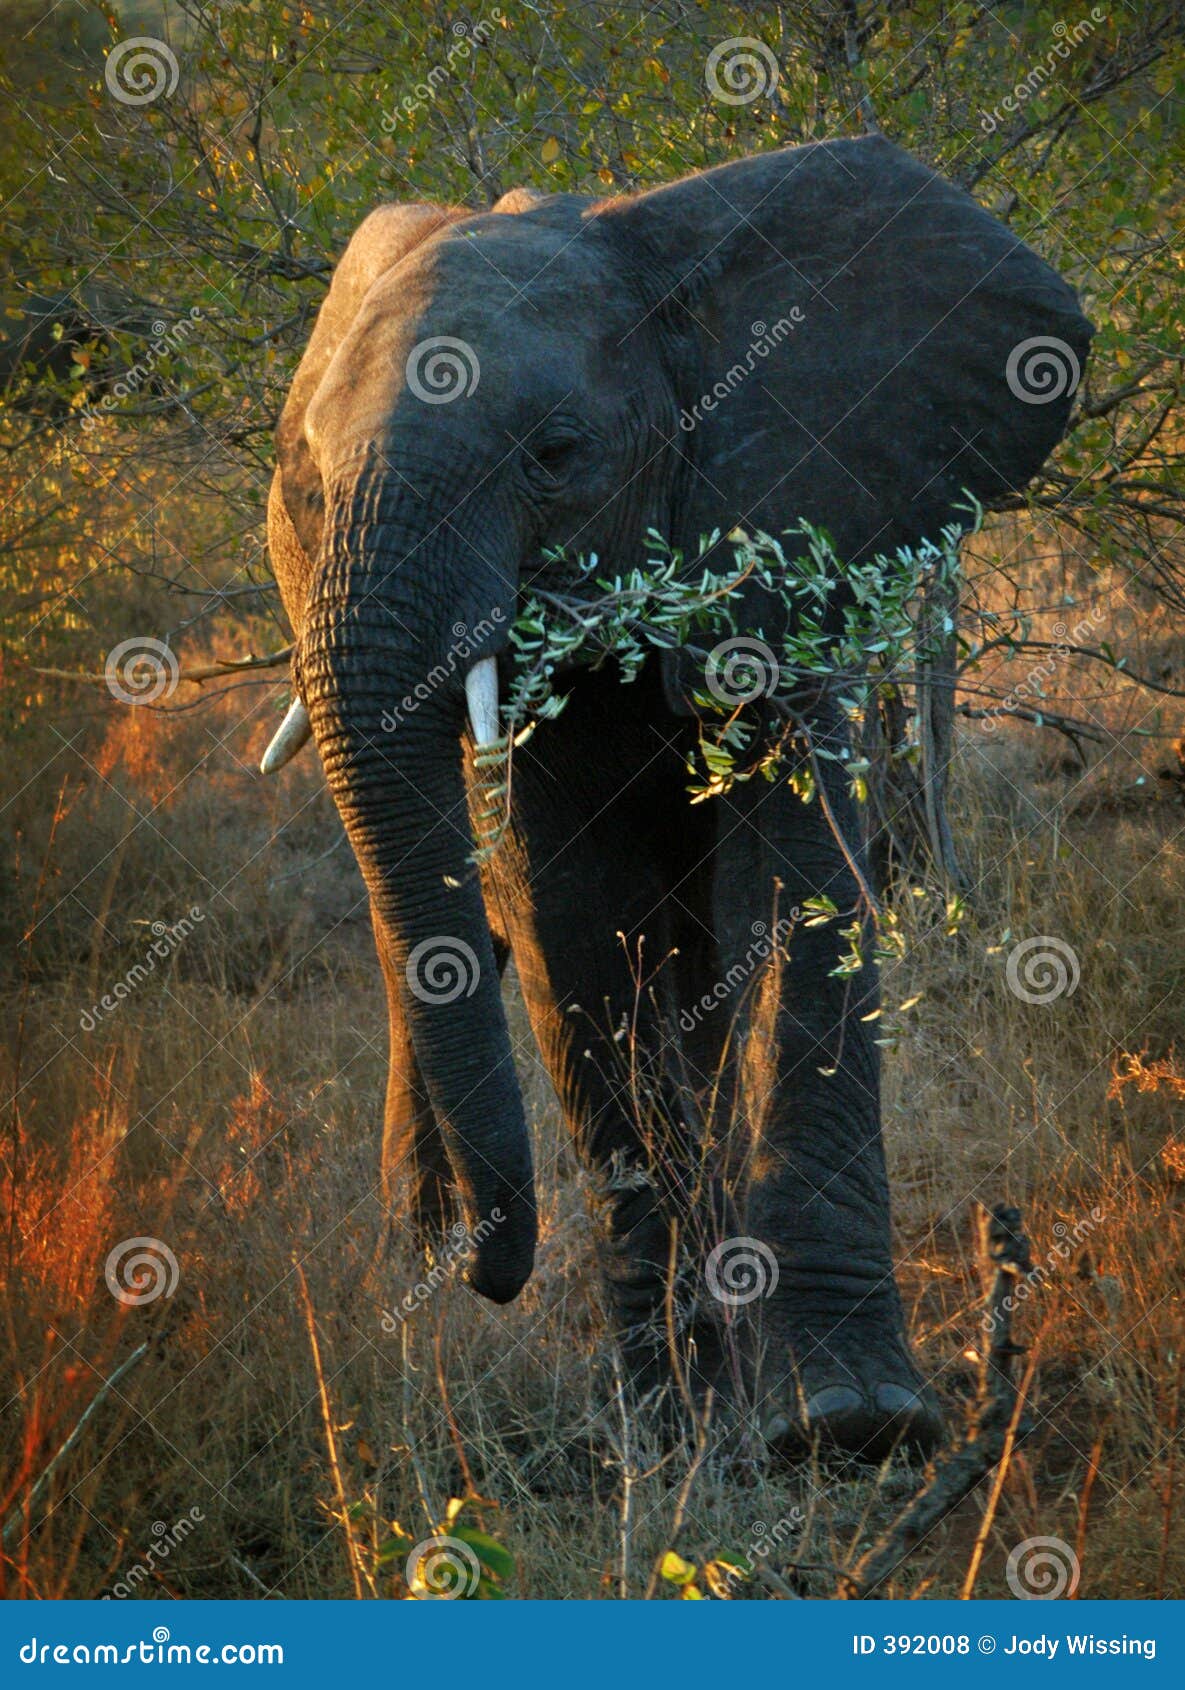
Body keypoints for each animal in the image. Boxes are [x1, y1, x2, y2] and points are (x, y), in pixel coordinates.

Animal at [260, 135, 1090, 1461]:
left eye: (555, 455)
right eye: (302, 485)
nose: (483, 1266)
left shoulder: (792, 514)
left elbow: (799, 892)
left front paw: (846, 1425)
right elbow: (574, 928)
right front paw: (666, 1421)